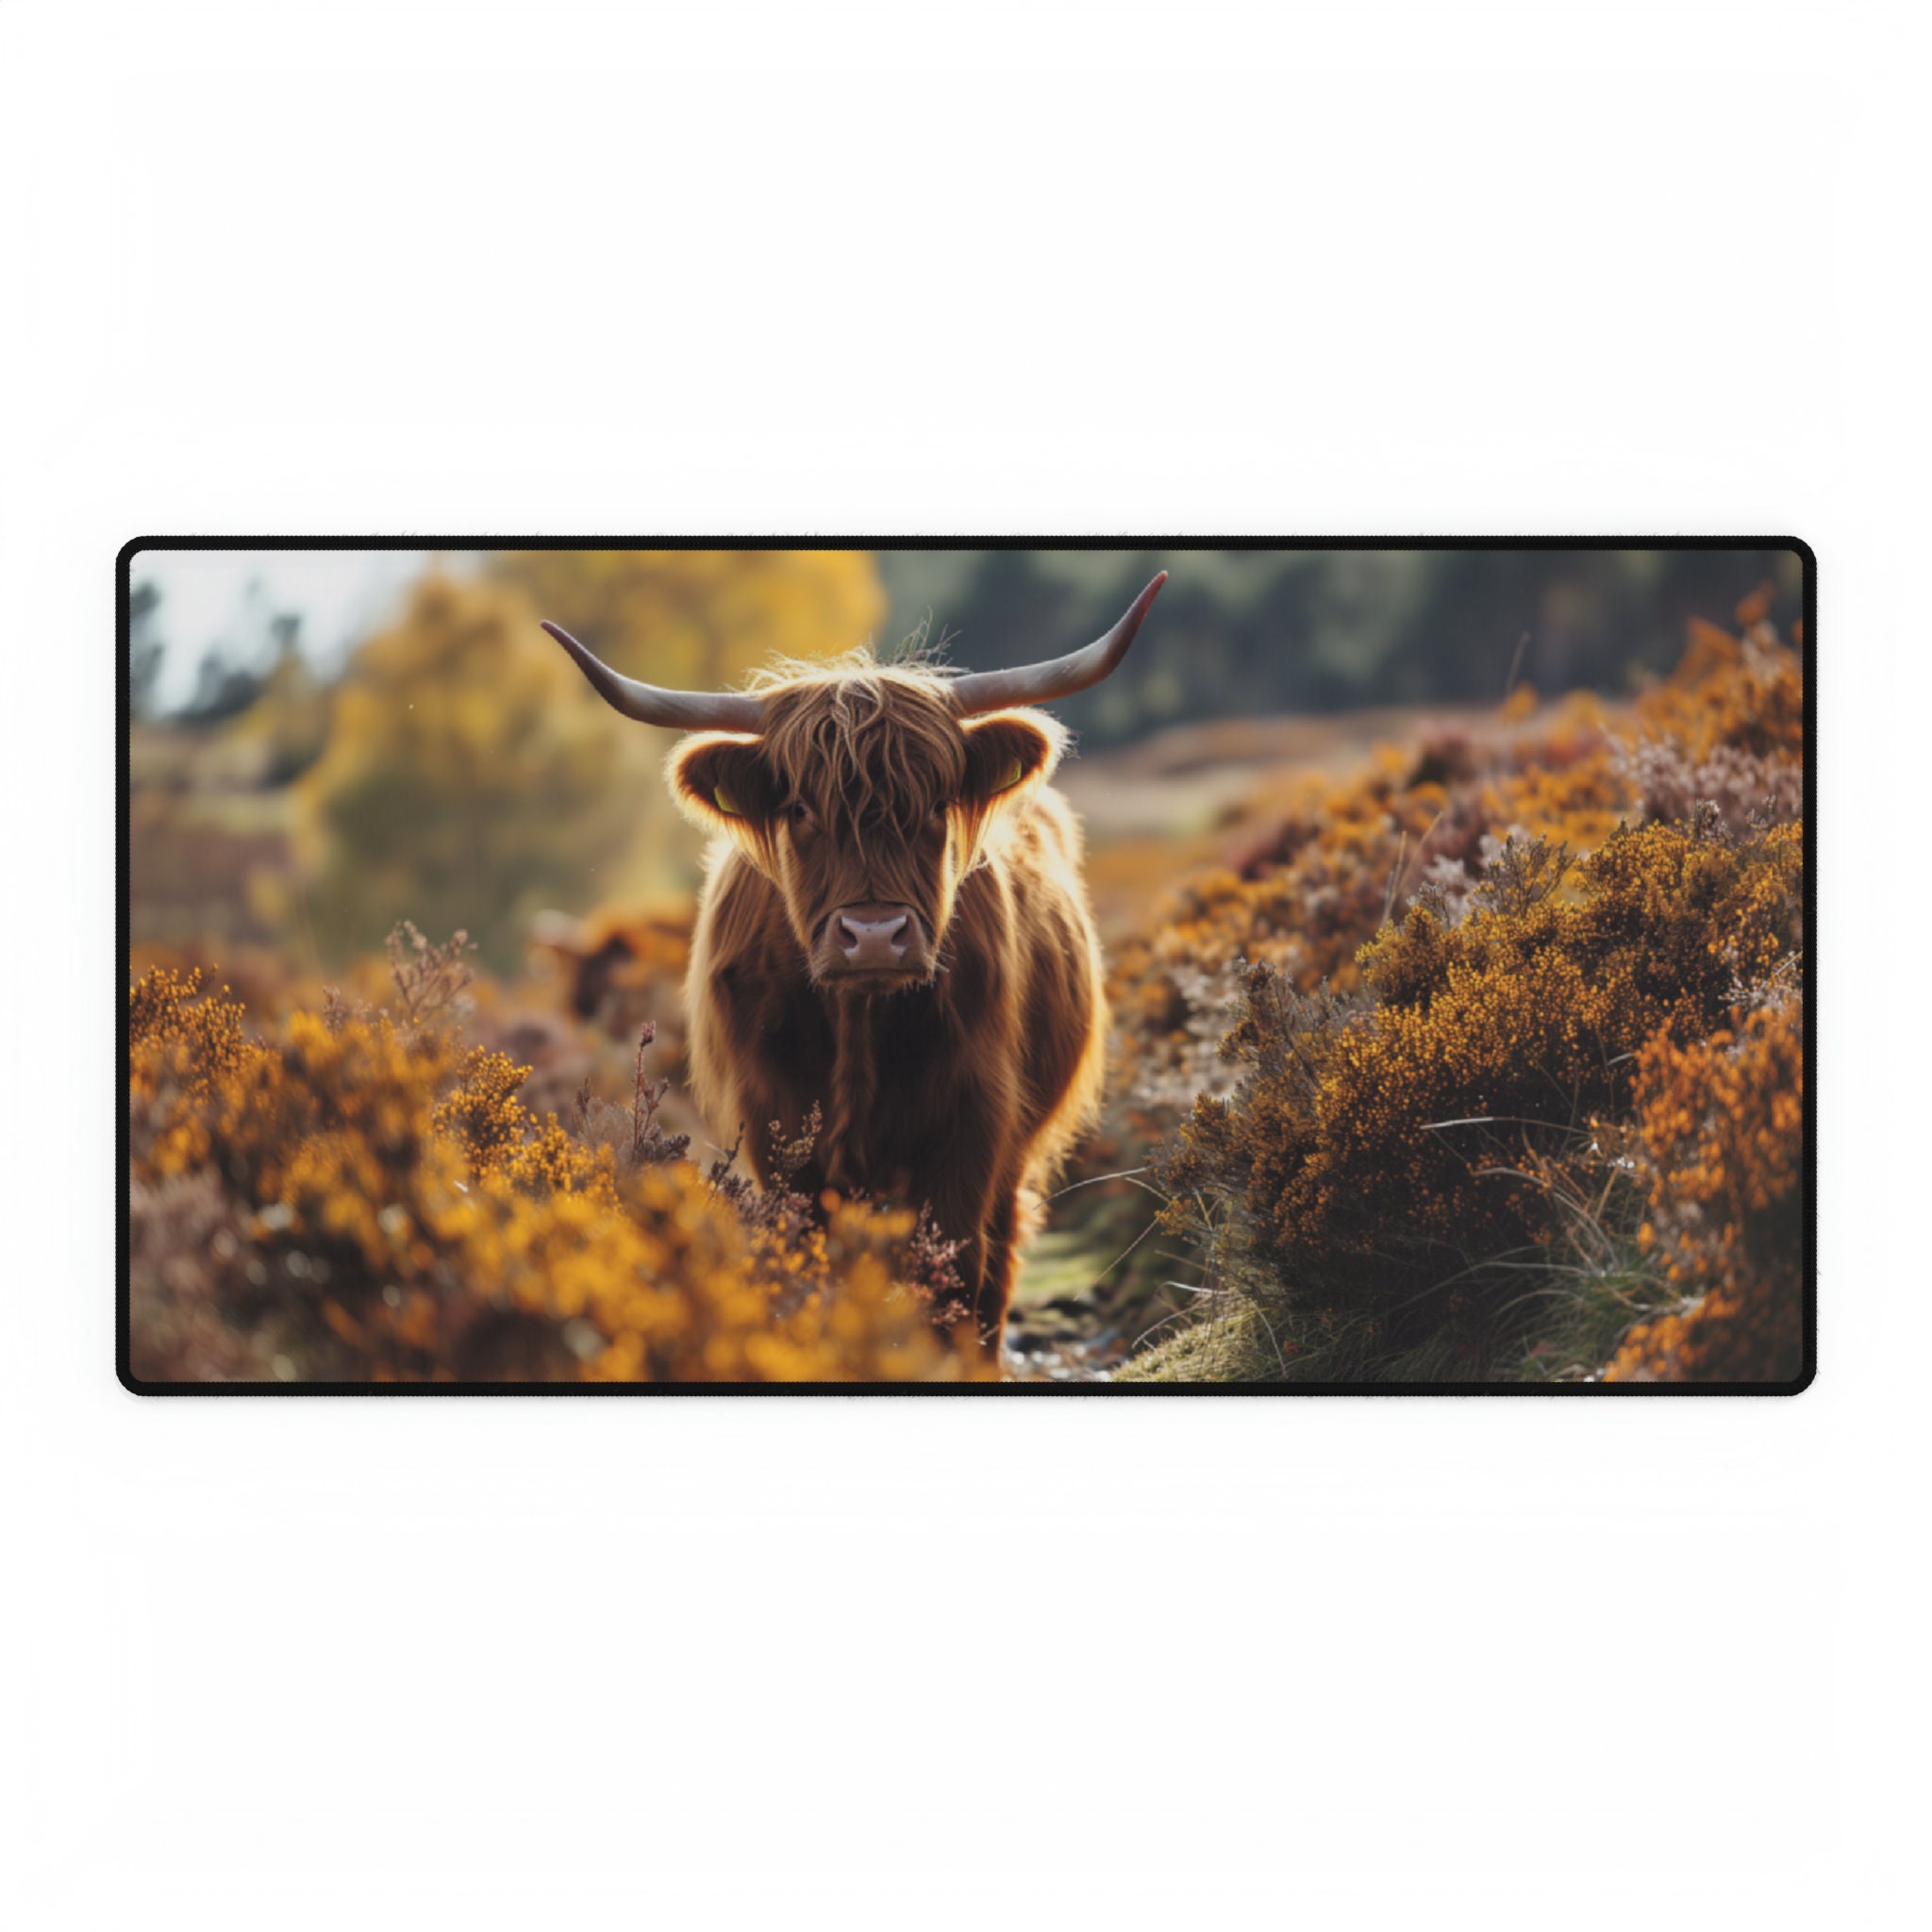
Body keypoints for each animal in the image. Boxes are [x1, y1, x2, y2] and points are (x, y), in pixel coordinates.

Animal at [541, 572, 1166, 1355]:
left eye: (936, 804)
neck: (858, 1021)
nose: (873, 936)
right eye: (801, 809)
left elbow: (954, 1278)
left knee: (996, 1266)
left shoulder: (973, 1120)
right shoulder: (778, 1128)